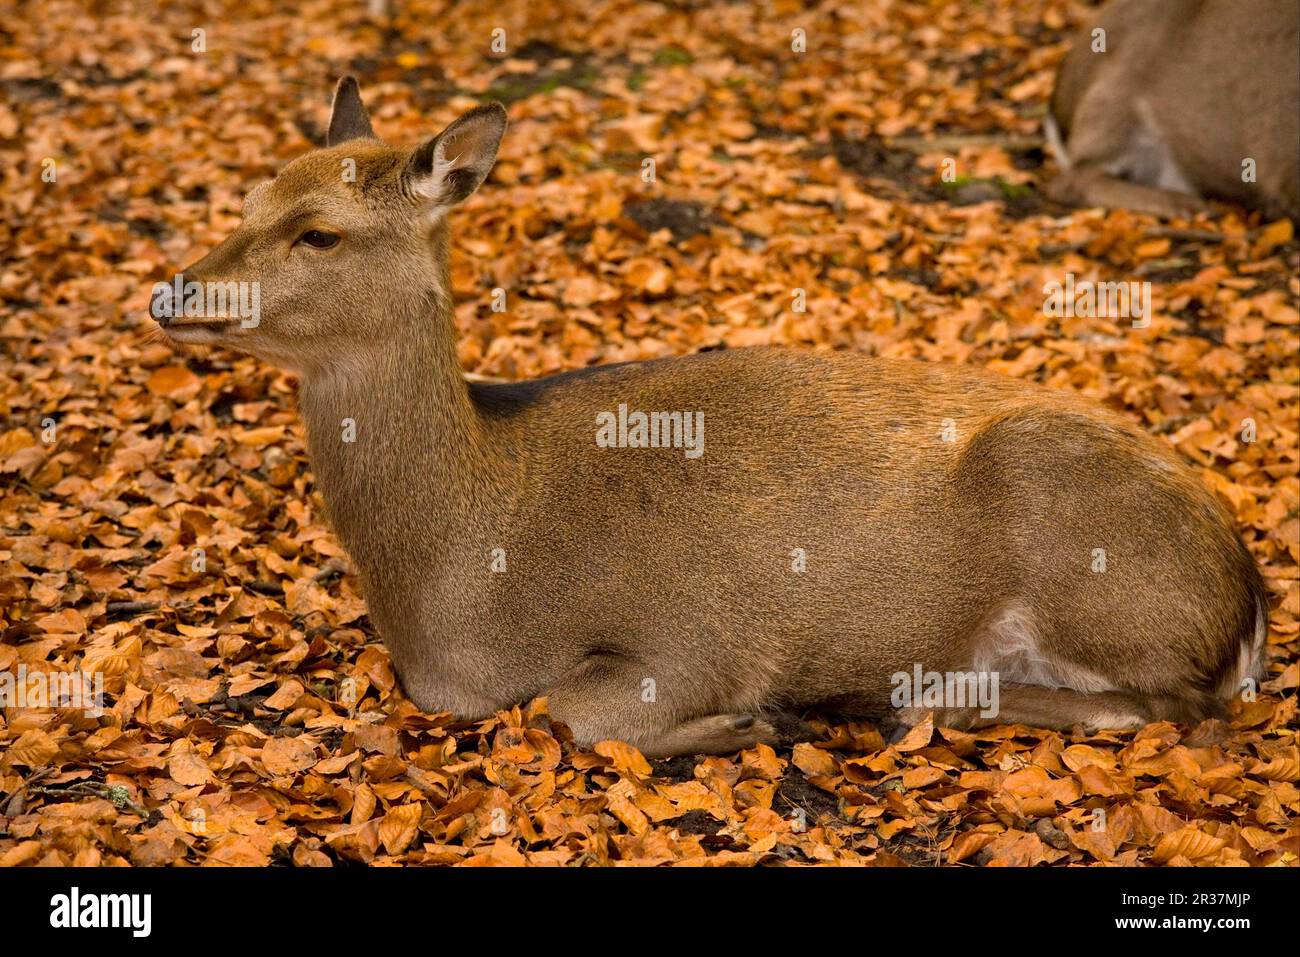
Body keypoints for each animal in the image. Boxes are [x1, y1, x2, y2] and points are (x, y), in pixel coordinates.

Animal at [152, 77, 1269, 757]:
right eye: (248, 201)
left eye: (320, 233)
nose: (174, 292)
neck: (460, 585)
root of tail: (1246, 590)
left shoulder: (692, 632)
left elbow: (576, 710)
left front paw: (747, 721)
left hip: (1090, 554)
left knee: (1168, 705)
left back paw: (906, 696)